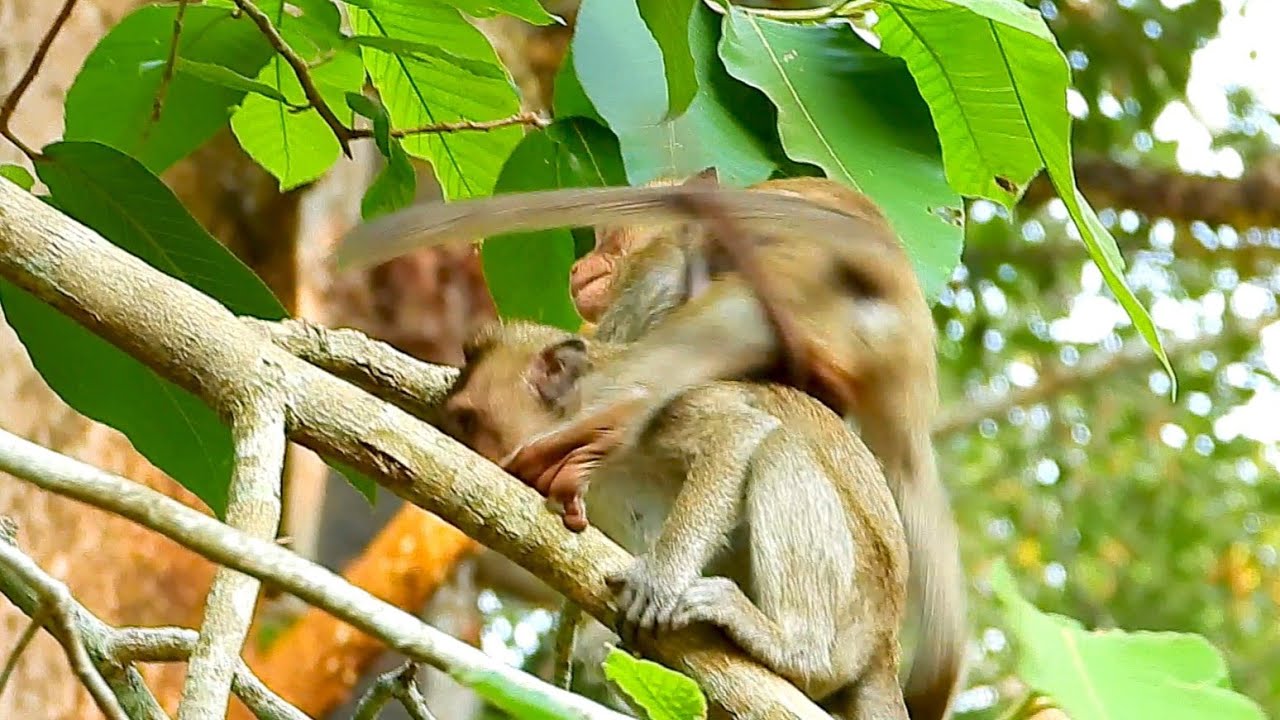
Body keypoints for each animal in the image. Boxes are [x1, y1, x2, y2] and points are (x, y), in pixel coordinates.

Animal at [437, 319, 911, 719]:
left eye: (468, 420)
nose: (460, 445)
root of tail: (886, 642)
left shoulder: (644, 400)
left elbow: (736, 432)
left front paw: (660, 580)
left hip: (857, 606)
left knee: (780, 446)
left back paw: (796, 649)